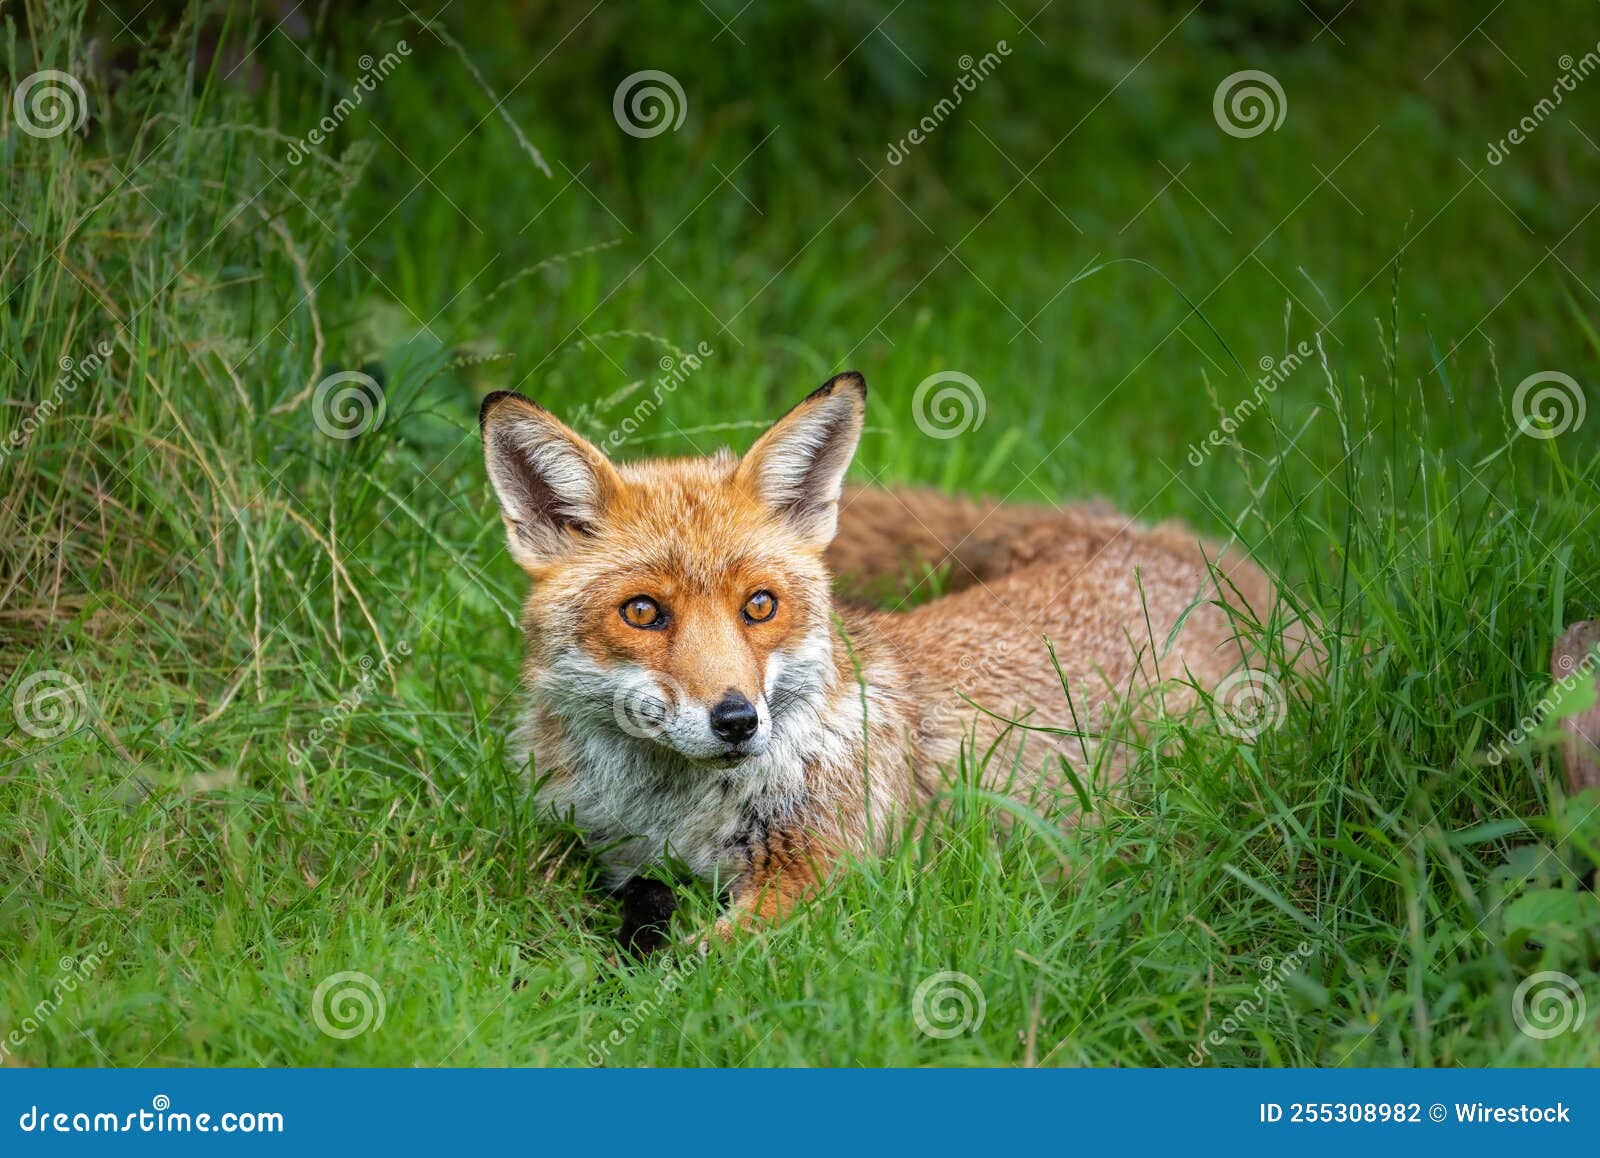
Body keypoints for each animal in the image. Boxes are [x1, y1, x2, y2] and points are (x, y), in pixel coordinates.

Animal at [479, 371, 1300, 950]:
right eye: (643, 612)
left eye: (760, 606)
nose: (737, 721)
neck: (671, 813)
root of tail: (1148, 536)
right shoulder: (601, 853)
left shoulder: (820, 874)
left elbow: (700, 964)